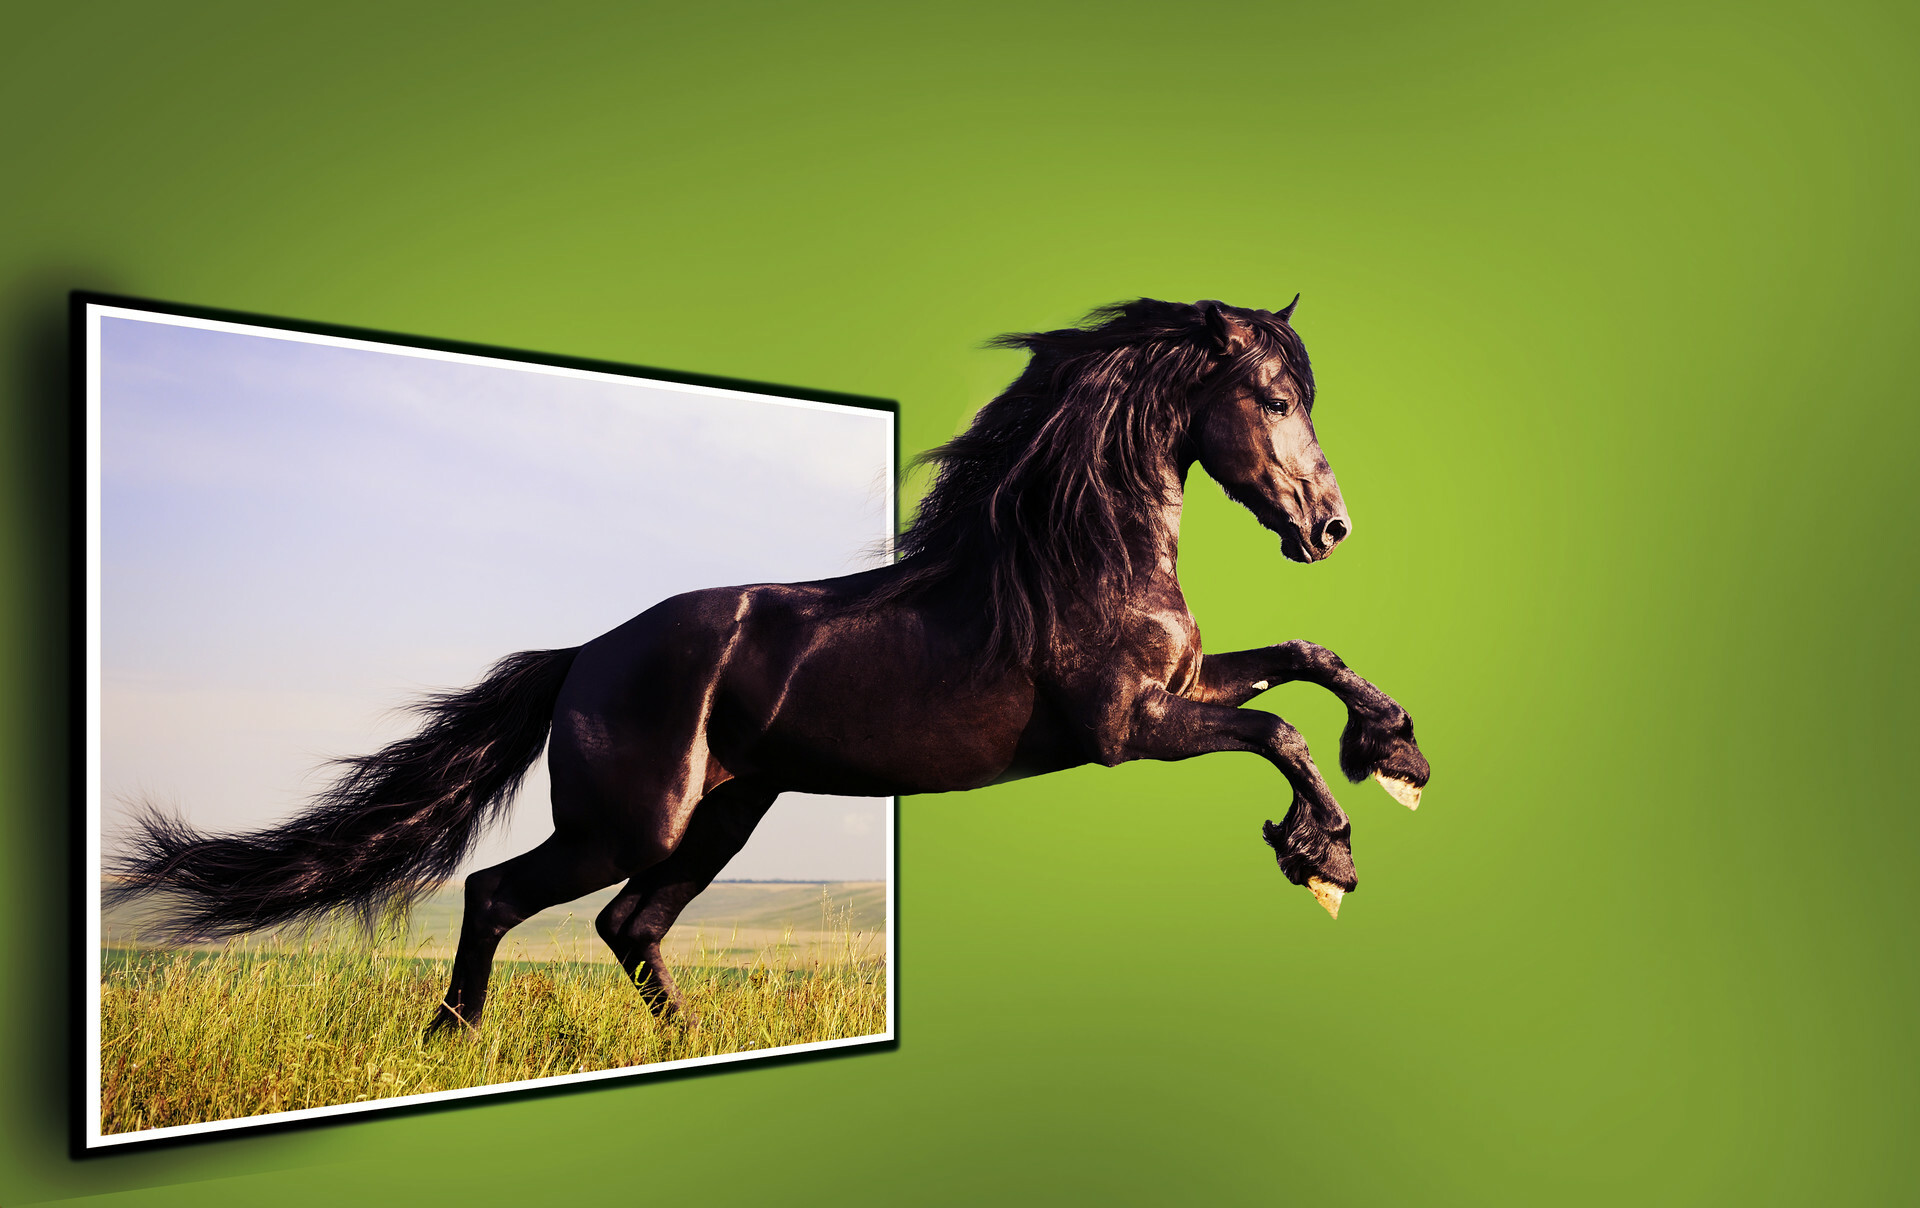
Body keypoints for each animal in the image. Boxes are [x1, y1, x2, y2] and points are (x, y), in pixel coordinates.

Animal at [109, 297, 1432, 1033]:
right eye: (1272, 397)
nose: (1329, 527)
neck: (1074, 554)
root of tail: (583, 654)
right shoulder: (1127, 726)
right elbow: (1279, 730)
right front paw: (1325, 856)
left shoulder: (1182, 687)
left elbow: (1307, 657)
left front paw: (1397, 755)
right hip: (632, 818)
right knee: (501, 894)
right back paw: (453, 1039)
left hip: (729, 812)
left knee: (630, 923)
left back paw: (681, 1042)